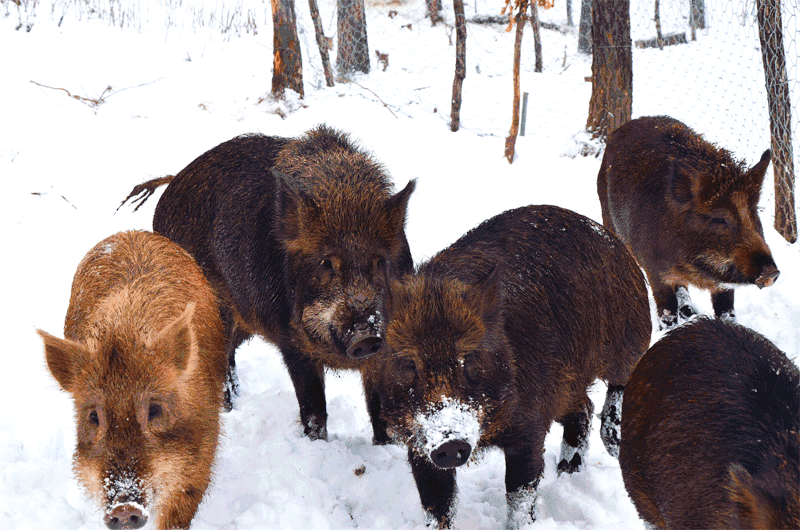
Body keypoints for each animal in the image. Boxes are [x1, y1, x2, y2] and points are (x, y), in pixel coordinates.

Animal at [119, 126, 416, 440]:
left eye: (380, 261)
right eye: (326, 262)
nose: (366, 336)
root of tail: (172, 183)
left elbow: (380, 411)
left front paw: (386, 445)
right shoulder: (290, 339)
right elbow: (313, 408)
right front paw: (316, 443)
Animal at [361, 205, 652, 529]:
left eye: (468, 358)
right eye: (411, 363)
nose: (450, 443)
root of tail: (614, 241)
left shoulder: (529, 426)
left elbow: (520, 492)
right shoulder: (418, 440)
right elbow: (436, 504)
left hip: (628, 332)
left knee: (623, 378)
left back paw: (612, 442)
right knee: (584, 407)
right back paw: (567, 470)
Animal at [597, 115, 780, 329]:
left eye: (753, 212)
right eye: (719, 218)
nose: (772, 272)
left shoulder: (723, 285)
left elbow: (727, 312)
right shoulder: (655, 271)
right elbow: (667, 310)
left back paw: (689, 312)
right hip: (608, 218)